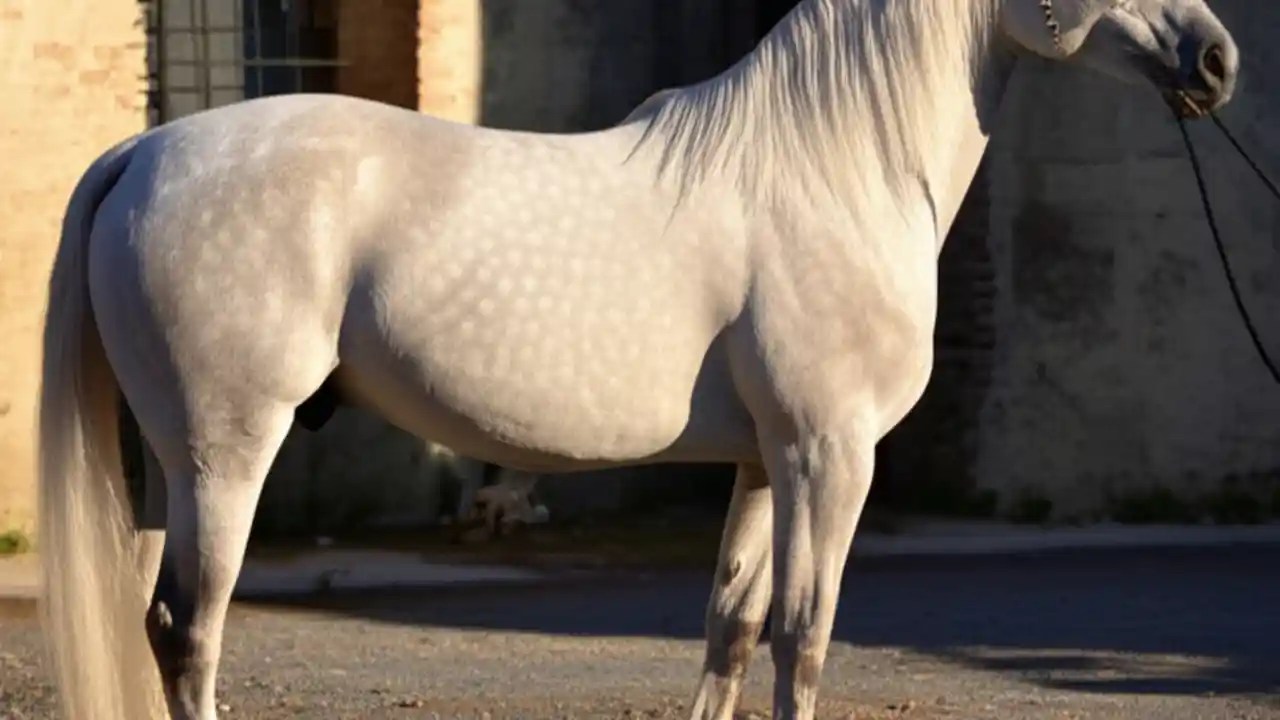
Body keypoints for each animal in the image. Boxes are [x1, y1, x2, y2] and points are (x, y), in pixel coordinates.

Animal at [37, 0, 1237, 718]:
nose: (1217, 59)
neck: (835, 167)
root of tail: (143, 148)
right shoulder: (829, 456)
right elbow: (805, 637)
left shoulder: (766, 464)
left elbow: (733, 630)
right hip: (225, 453)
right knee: (188, 631)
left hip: (167, 466)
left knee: (148, 613)